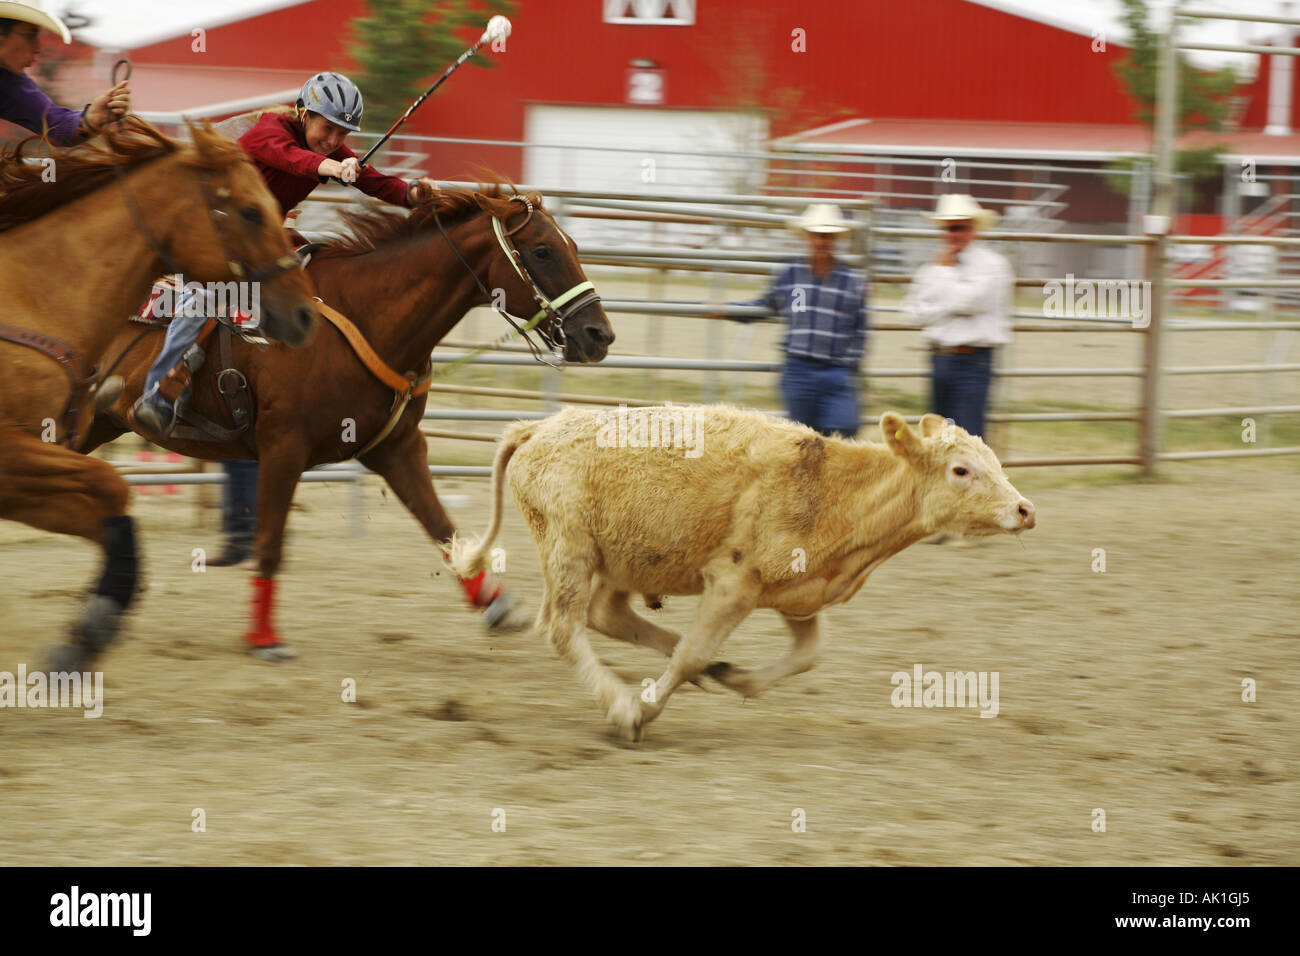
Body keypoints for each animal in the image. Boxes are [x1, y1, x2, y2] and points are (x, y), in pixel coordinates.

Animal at [0, 116, 319, 670]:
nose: (304, 315)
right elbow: (111, 486)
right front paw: (90, 630)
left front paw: (84, 635)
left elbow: (110, 509)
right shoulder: (10, 454)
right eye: (251, 210)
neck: (32, 295)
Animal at [81, 183, 615, 659]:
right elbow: (269, 543)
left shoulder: (397, 448)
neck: (365, 315)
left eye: (571, 246)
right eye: (542, 250)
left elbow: (442, 526)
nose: (599, 335)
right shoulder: (283, 449)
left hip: (98, 423)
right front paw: (264, 638)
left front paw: (495, 603)